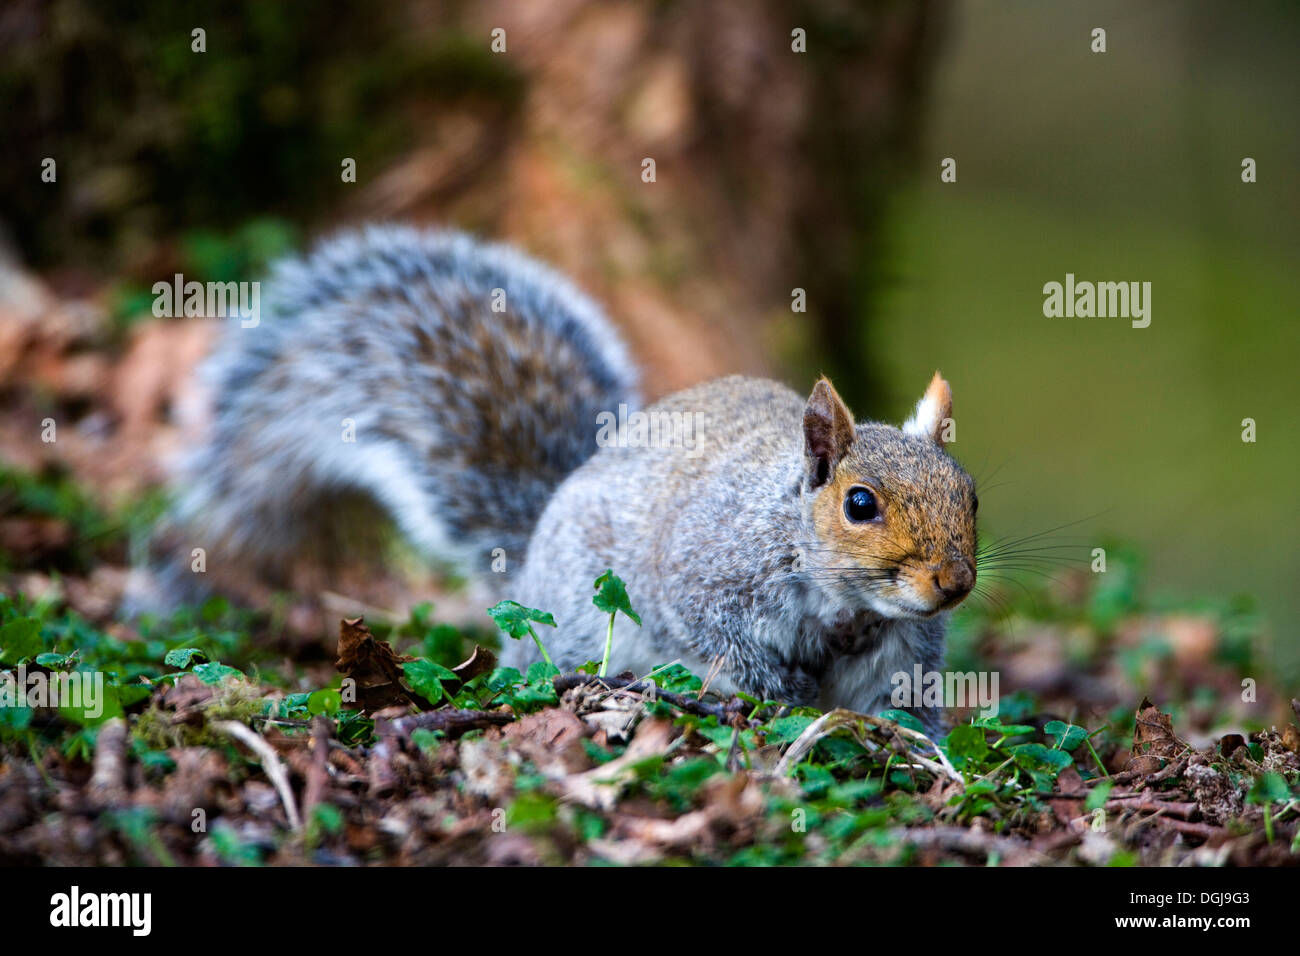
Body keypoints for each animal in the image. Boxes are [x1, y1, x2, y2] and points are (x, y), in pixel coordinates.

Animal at [128, 225, 978, 730]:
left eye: (969, 493)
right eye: (859, 503)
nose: (954, 583)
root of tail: (533, 546)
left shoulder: (898, 651)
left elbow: (894, 698)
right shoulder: (703, 572)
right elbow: (720, 636)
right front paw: (782, 687)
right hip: (580, 619)